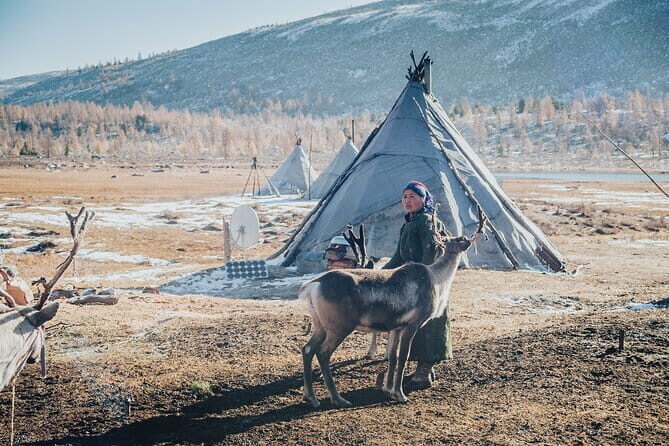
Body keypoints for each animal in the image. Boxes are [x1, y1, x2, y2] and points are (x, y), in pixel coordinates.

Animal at [300, 207, 486, 408]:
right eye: (458, 240)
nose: (466, 242)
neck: (437, 279)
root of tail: (312, 285)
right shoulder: (413, 323)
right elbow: (403, 357)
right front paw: (400, 394)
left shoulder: (396, 327)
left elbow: (393, 357)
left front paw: (388, 390)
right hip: (339, 326)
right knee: (322, 353)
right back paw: (338, 398)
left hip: (320, 325)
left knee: (307, 349)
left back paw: (311, 397)